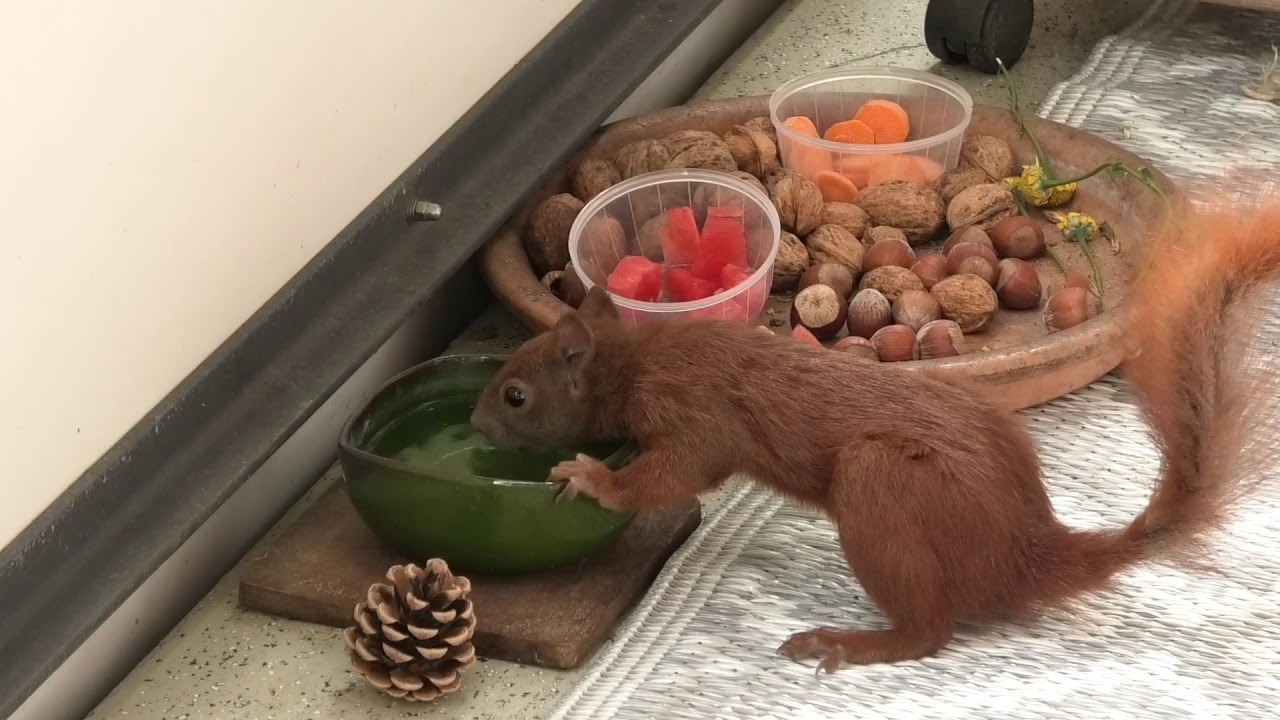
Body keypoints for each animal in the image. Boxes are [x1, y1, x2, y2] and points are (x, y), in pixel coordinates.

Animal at [469, 197, 1280, 672]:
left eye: (515, 393)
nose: (475, 423)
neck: (635, 360)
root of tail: (1023, 552)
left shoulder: (692, 414)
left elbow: (671, 476)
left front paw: (589, 478)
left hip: (880, 486)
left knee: (929, 632)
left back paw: (849, 642)